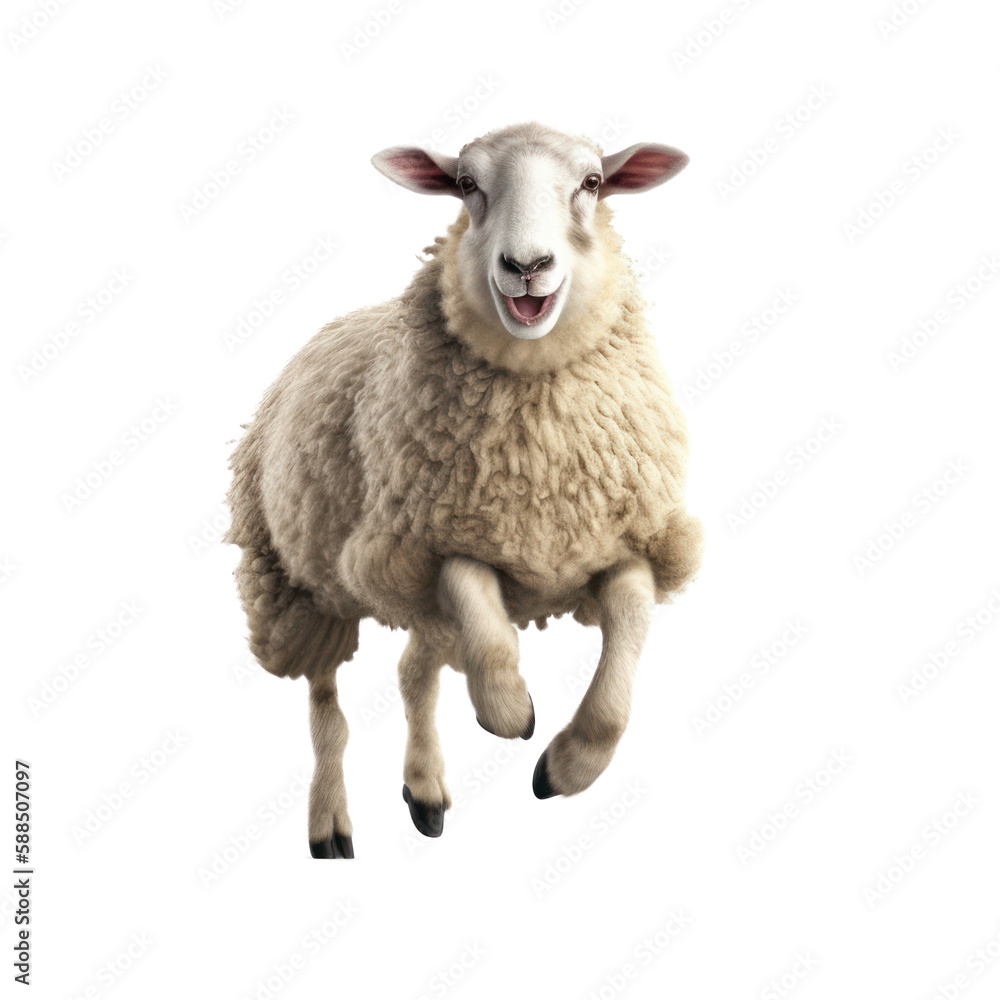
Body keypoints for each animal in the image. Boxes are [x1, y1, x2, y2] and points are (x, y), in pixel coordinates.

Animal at [225, 121, 703, 859]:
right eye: (466, 184)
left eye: (593, 182)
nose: (527, 265)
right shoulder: (433, 537)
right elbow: (488, 632)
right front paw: (510, 711)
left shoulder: (625, 540)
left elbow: (623, 652)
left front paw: (567, 768)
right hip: (297, 584)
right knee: (327, 706)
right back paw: (329, 822)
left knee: (413, 675)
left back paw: (424, 791)